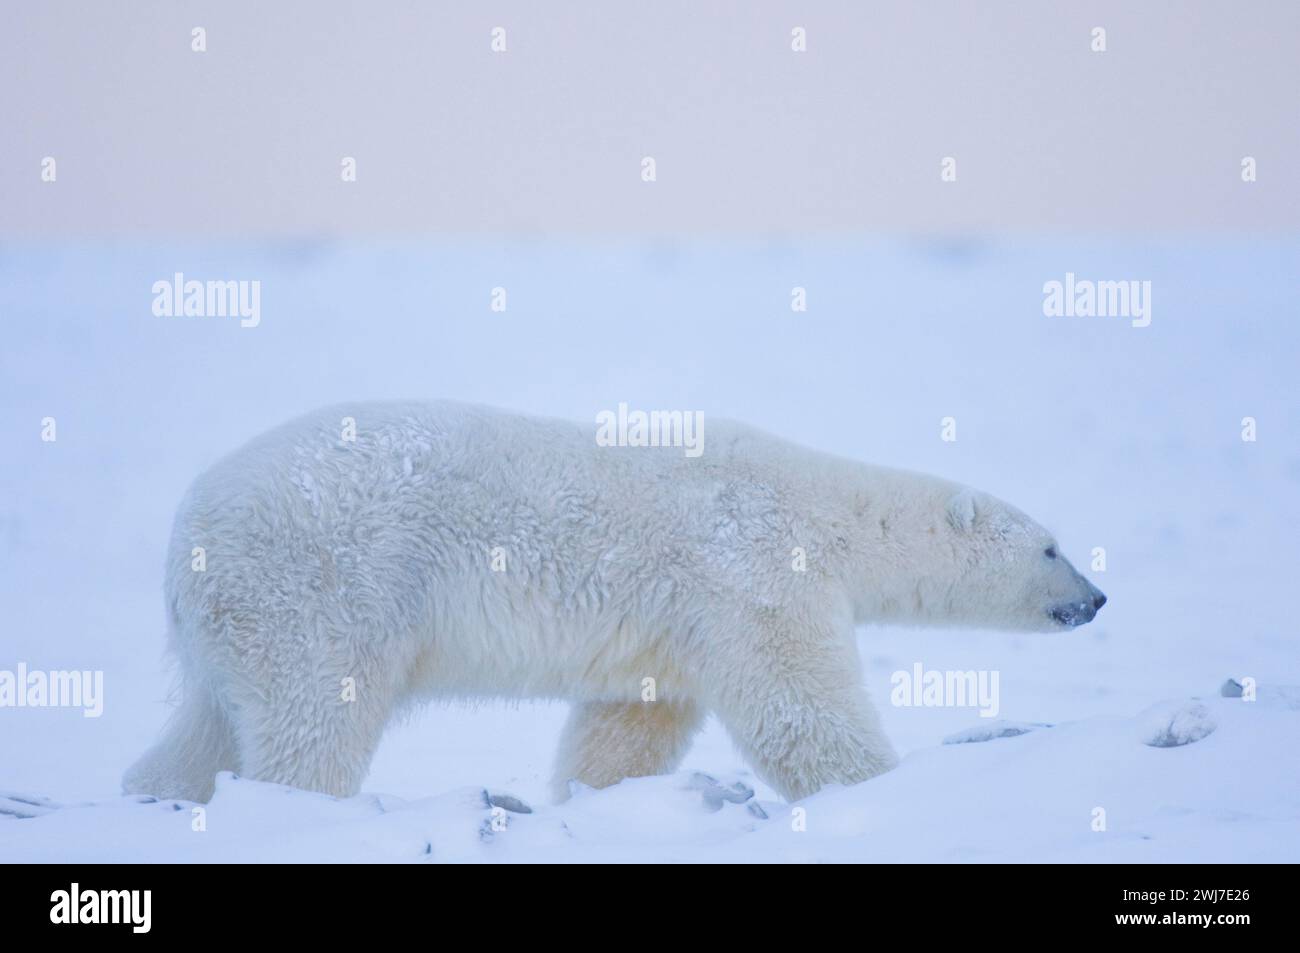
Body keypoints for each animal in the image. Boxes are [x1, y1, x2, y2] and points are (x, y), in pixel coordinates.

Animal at [123, 400, 1105, 804]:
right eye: (1052, 545)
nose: (1096, 597)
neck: (826, 511)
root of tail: (183, 530)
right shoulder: (749, 569)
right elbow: (800, 705)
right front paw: (880, 787)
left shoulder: (669, 632)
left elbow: (631, 724)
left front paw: (591, 800)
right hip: (319, 588)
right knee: (313, 720)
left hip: (240, 622)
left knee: (210, 725)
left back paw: (155, 795)